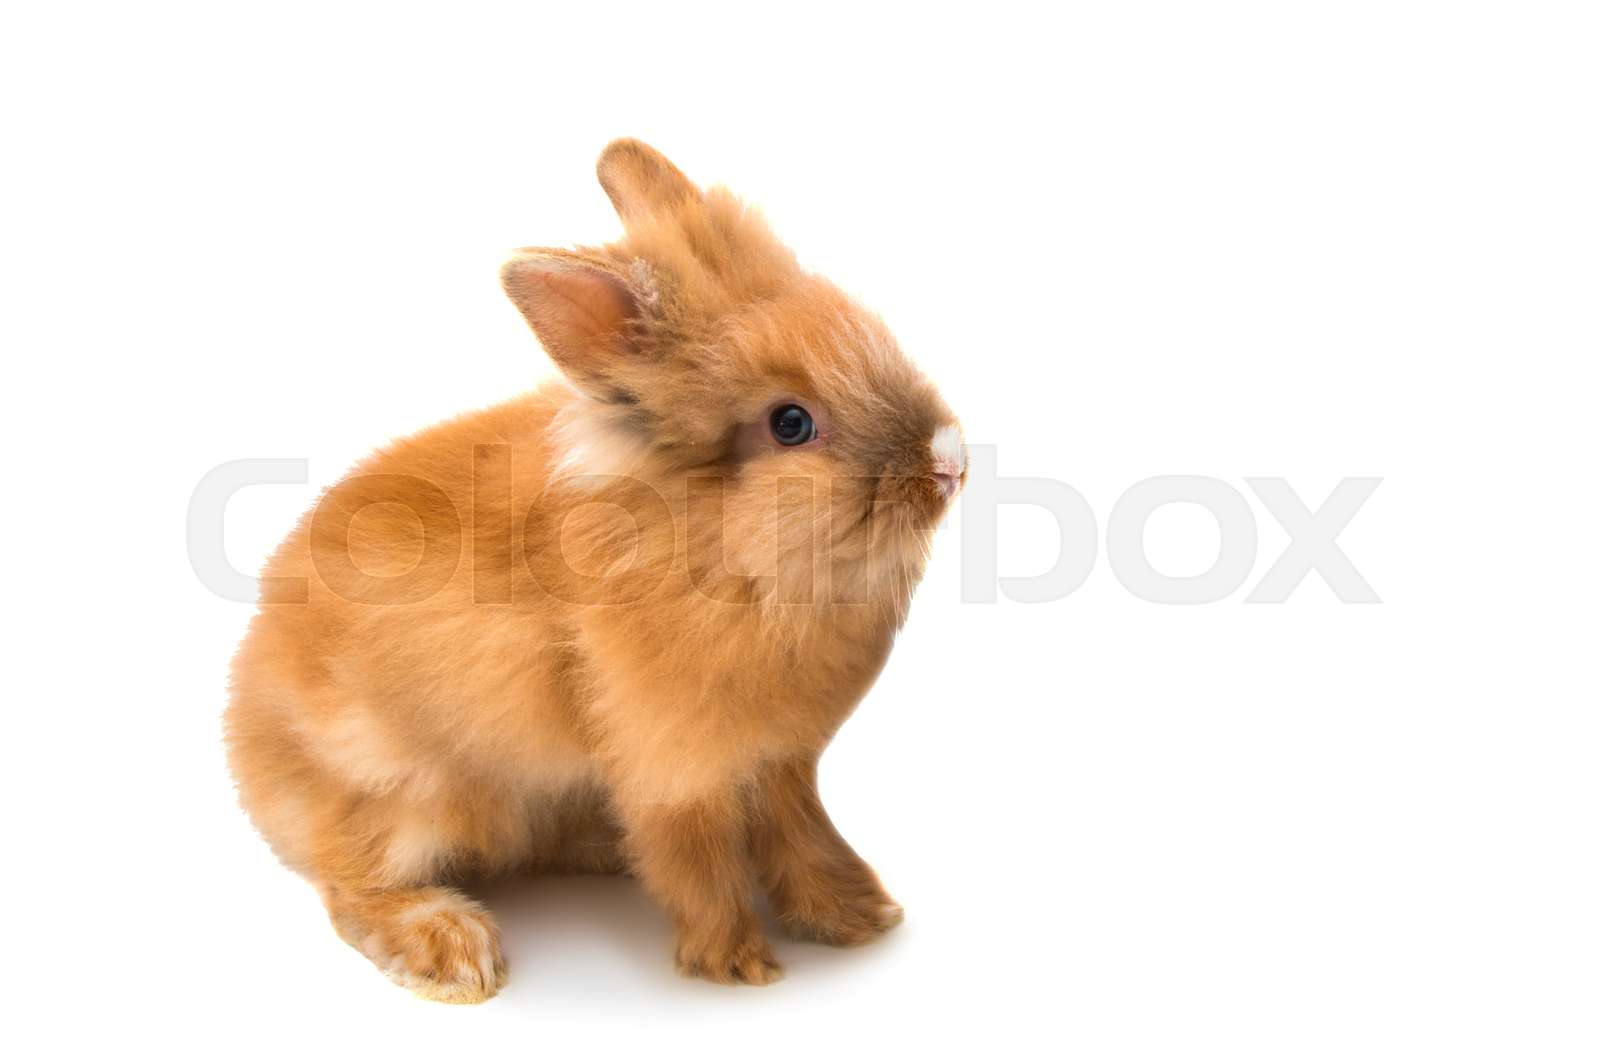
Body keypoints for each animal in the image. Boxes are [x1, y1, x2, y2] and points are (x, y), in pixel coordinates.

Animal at [224, 139, 966, 1003]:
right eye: (791, 423)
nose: (951, 461)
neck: (717, 549)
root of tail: (248, 738)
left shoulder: (783, 762)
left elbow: (805, 836)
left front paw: (858, 918)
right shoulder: (674, 769)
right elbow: (696, 859)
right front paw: (737, 963)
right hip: (401, 792)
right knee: (351, 881)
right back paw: (452, 949)